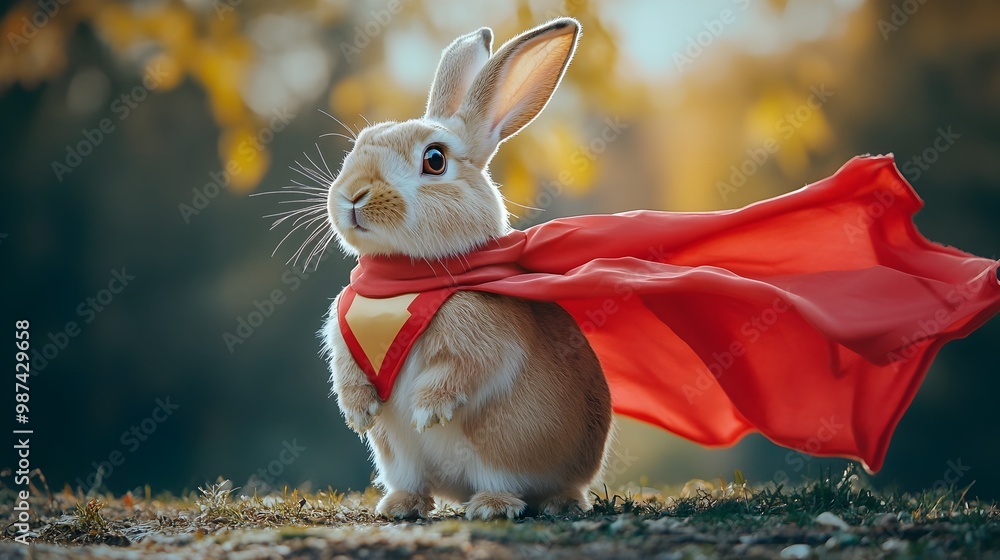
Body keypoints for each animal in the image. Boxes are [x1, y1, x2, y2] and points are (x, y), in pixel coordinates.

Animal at [321, 18, 613, 520]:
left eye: (434, 160)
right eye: (359, 145)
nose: (353, 194)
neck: (402, 281)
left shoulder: (478, 338)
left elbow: (459, 371)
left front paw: (426, 412)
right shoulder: (343, 341)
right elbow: (348, 372)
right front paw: (358, 414)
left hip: (503, 447)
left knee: (519, 483)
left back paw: (499, 506)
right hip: (398, 458)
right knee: (414, 481)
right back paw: (400, 506)